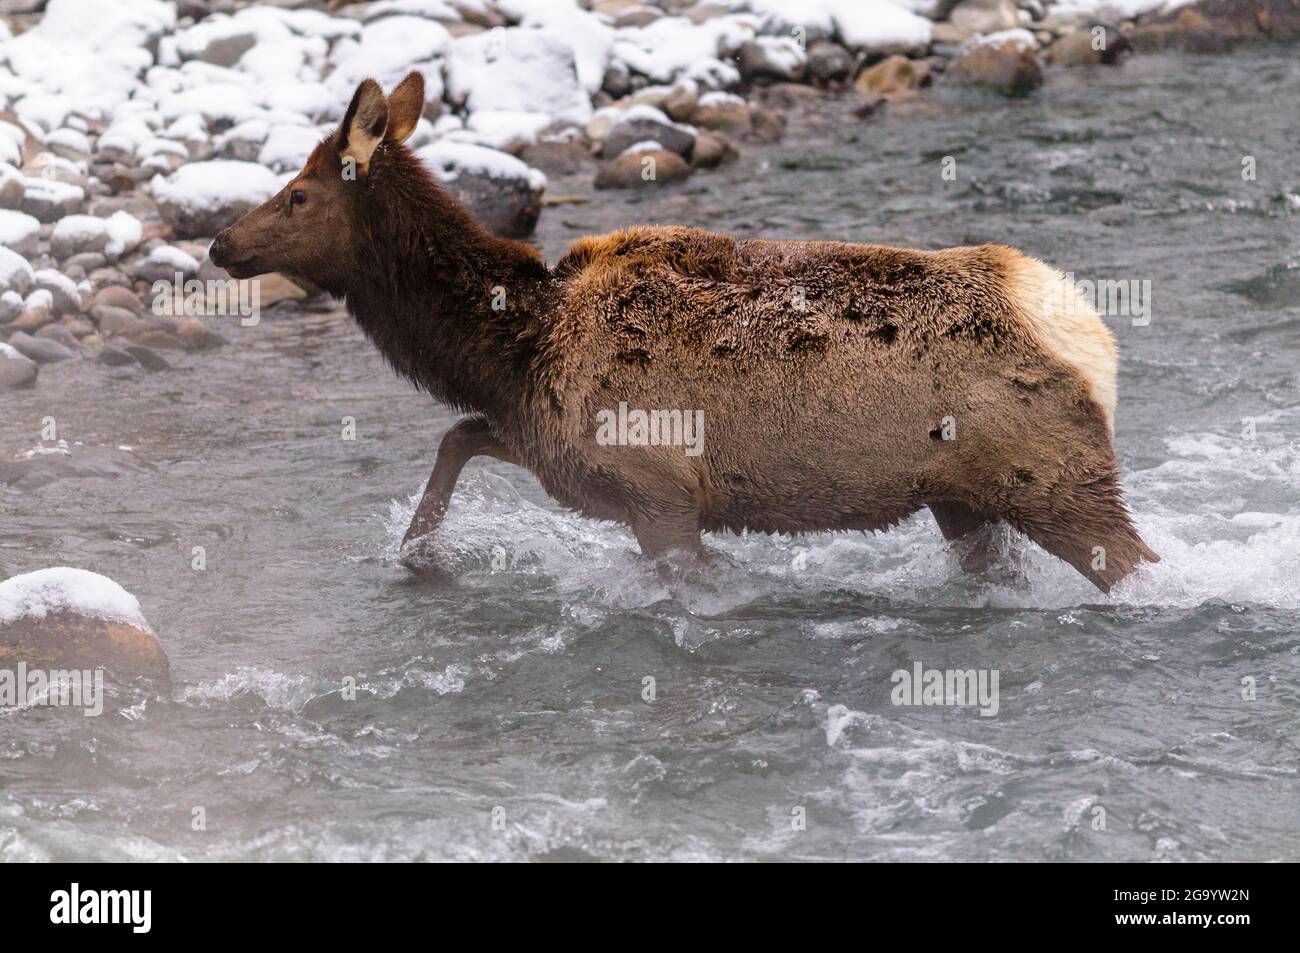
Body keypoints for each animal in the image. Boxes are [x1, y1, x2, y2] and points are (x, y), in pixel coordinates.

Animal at [209, 72, 1159, 593]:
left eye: (298, 193)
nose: (220, 243)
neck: (517, 348)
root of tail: (1093, 339)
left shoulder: (658, 486)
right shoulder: (562, 451)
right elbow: (459, 434)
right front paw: (415, 548)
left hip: (1053, 475)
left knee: (1137, 560)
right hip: (963, 497)